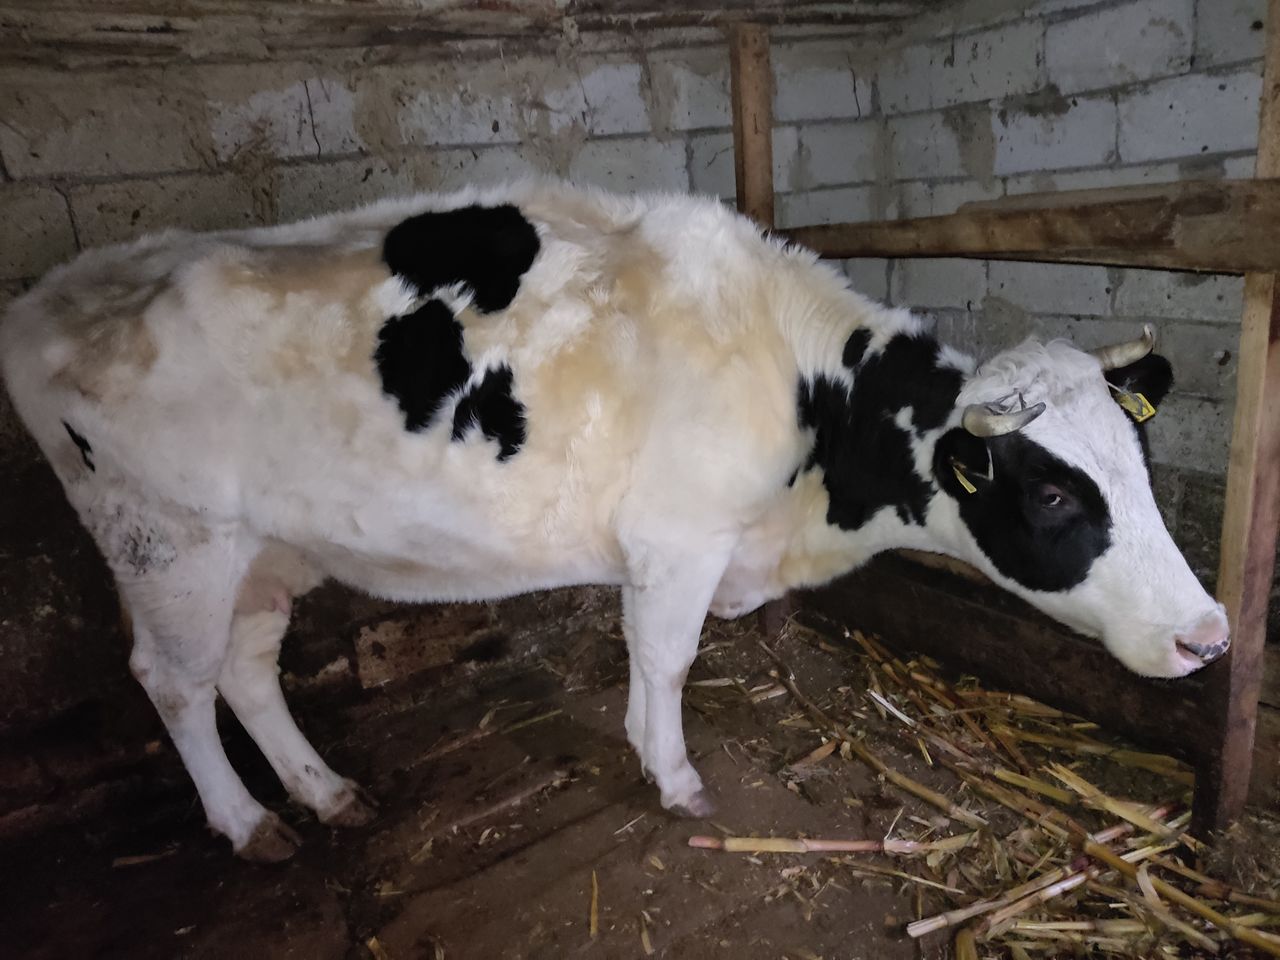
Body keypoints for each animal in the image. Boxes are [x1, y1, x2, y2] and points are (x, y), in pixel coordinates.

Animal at [0, 180, 1228, 861]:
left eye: (1140, 464)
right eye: (1055, 492)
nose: (1208, 635)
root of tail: (58, 291)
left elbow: (648, 657)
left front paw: (650, 754)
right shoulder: (678, 540)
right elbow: (668, 659)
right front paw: (673, 777)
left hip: (267, 550)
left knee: (248, 671)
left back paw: (322, 792)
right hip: (170, 541)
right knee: (174, 681)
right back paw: (246, 825)